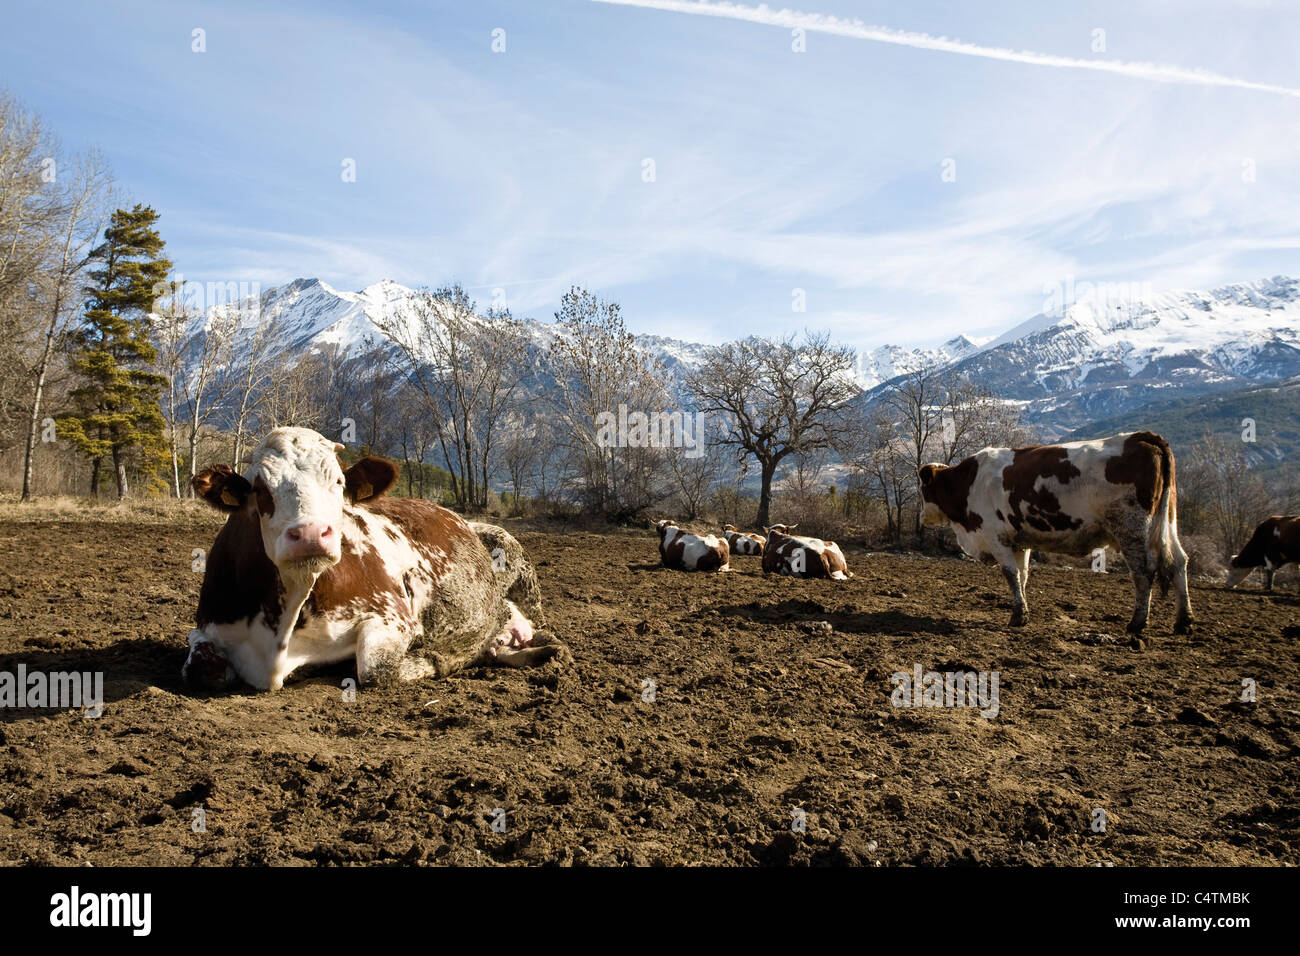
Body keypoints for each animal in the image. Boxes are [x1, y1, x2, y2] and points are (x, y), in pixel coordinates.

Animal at [183, 427, 566, 692]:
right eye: (260, 489)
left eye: (338, 481)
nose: (310, 534)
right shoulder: (208, 626)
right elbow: (201, 668)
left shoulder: (393, 617)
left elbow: (375, 669)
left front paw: (439, 654)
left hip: (515, 560)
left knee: (543, 630)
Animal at [917, 431, 1192, 635]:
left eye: (923, 489)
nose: (921, 517)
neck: (970, 482)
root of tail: (1140, 437)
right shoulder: (1020, 542)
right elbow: (1022, 575)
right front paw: (1022, 612)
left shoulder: (996, 537)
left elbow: (1010, 574)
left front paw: (1018, 616)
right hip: (1167, 520)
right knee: (1178, 562)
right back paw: (1183, 622)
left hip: (1131, 528)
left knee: (1143, 571)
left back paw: (1137, 622)